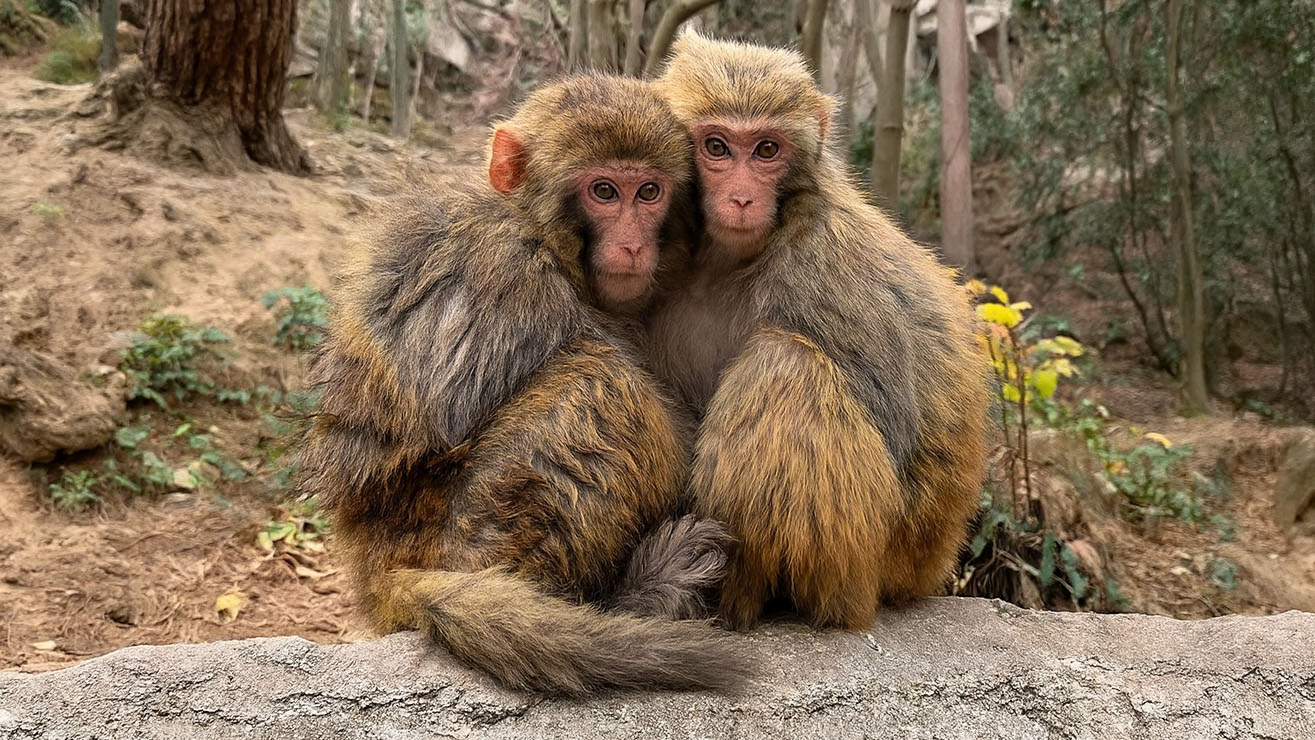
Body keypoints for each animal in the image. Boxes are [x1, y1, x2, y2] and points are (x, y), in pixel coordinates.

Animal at [297, 74, 748, 695]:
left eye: (649, 192)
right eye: (604, 191)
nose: (633, 243)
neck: (543, 240)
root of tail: (378, 570)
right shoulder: (510, 271)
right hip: (460, 544)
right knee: (600, 379)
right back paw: (626, 602)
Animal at [647, 32, 992, 631]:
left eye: (766, 150)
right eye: (717, 147)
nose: (741, 198)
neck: (728, 260)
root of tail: (933, 562)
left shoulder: (824, 261)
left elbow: (894, 422)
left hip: (880, 553)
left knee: (785, 364)